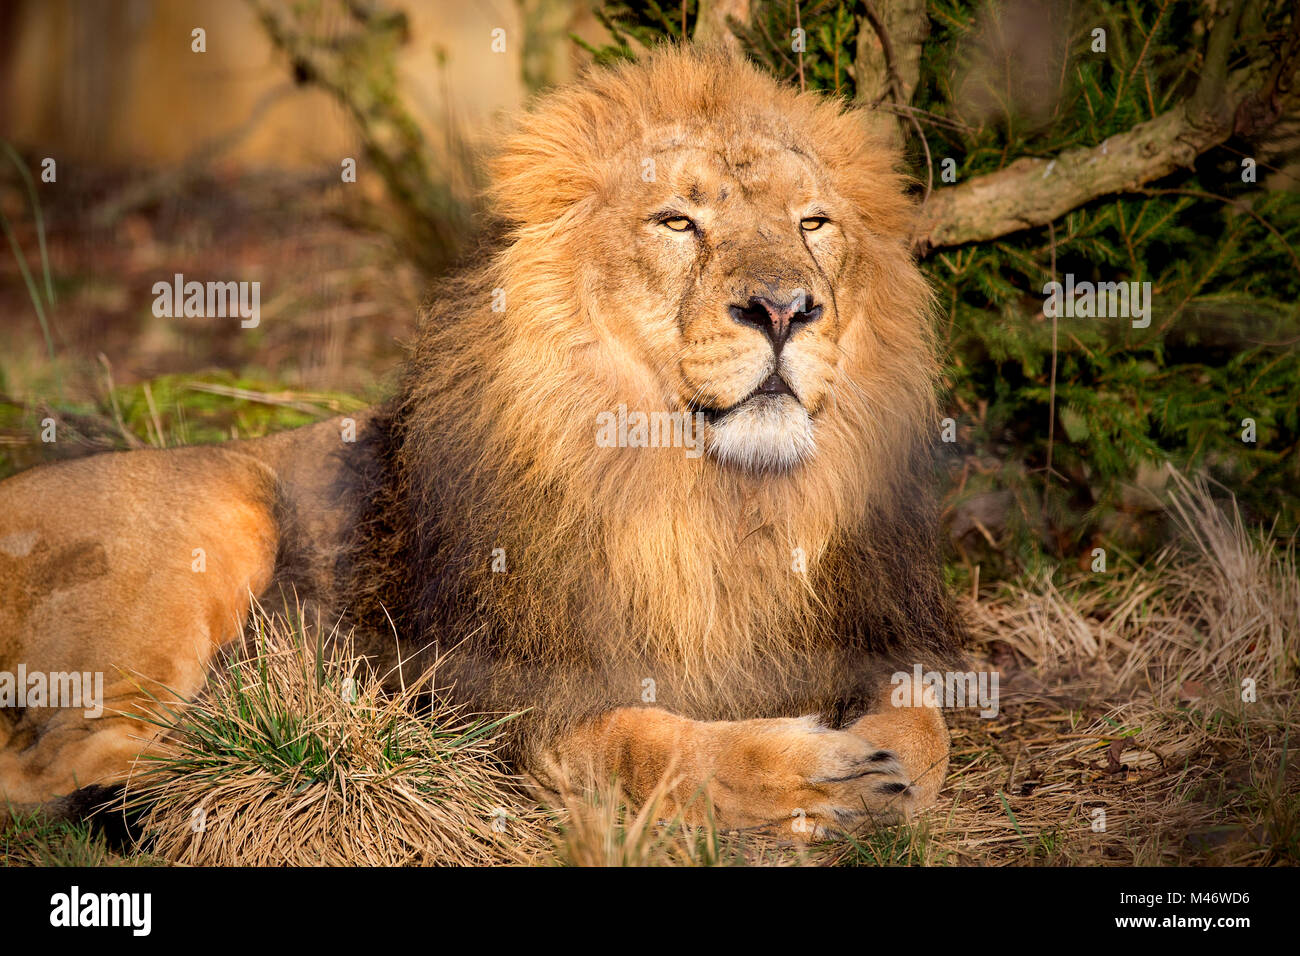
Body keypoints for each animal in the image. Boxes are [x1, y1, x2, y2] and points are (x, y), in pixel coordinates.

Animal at [0, 46, 964, 839]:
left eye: (813, 224)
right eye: (677, 222)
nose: (784, 309)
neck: (711, 496)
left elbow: (926, 730)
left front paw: (883, 770)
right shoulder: (509, 697)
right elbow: (651, 745)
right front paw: (821, 776)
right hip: (221, 510)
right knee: (73, 763)